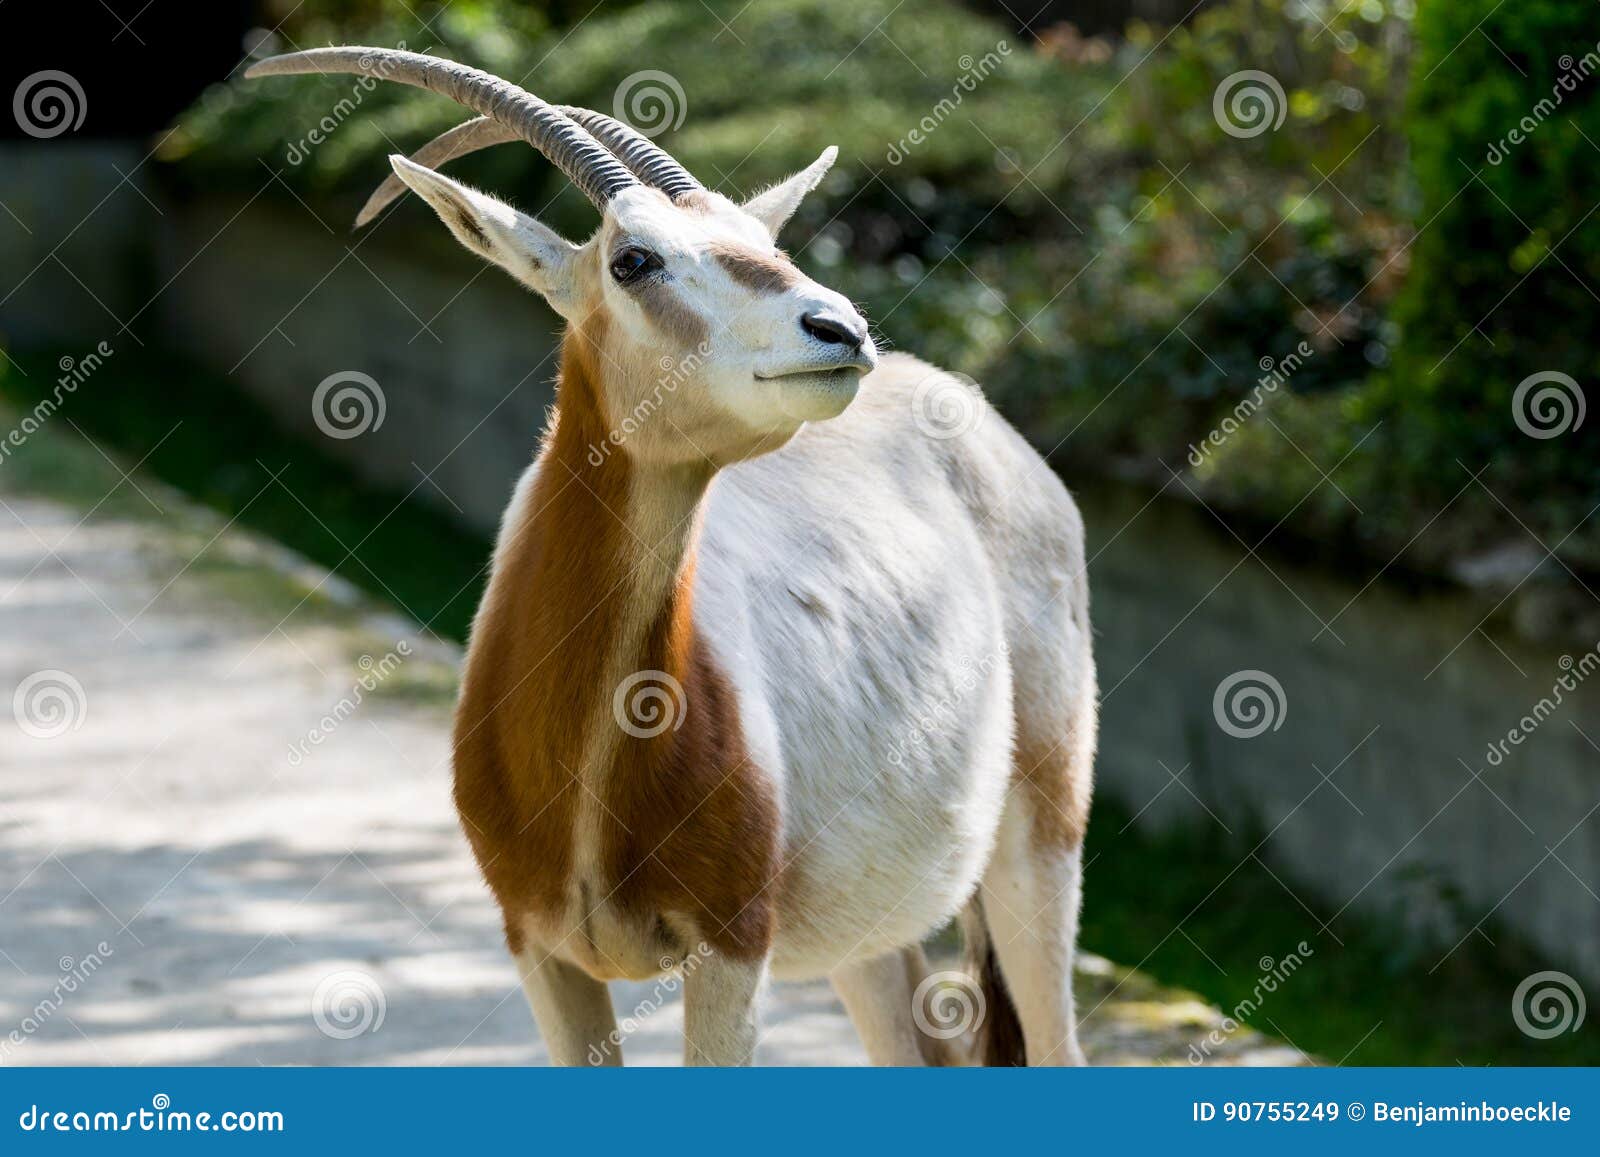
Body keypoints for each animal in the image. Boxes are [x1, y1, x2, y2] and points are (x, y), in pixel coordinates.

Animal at [249, 48, 1096, 1066]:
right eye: (634, 258)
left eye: (763, 239)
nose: (841, 328)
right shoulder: (540, 950)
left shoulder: (730, 946)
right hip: (865, 936)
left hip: (1039, 834)